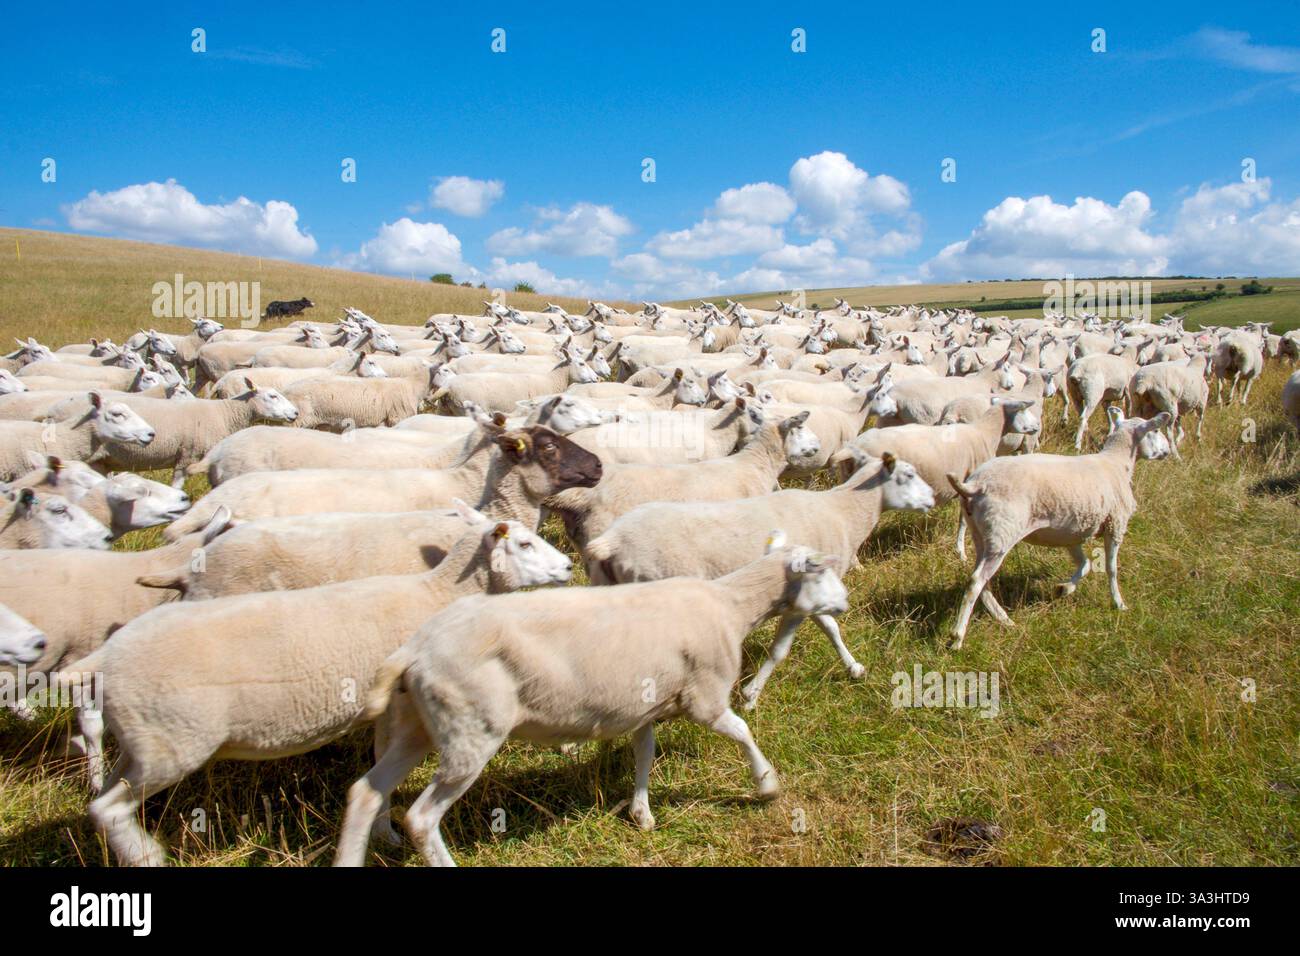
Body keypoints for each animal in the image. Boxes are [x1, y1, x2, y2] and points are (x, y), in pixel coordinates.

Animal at [68, 503, 573, 866]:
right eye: (525, 543)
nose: (569, 568)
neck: (438, 592)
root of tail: (105, 656)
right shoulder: (395, 704)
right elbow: (381, 762)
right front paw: (386, 832)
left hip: (143, 743)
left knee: (106, 798)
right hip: (173, 743)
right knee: (108, 808)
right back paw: (147, 855)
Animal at [334, 540, 848, 866]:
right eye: (820, 569)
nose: (844, 603)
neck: (732, 606)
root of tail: (414, 650)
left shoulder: (646, 702)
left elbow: (645, 751)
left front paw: (641, 813)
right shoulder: (704, 695)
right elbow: (742, 729)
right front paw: (767, 785)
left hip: (417, 724)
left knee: (366, 793)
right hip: (471, 730)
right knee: (421, 818)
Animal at [946, 409, 1172, 649]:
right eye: (1155, 430)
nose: (1167, 451)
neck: (1117, 464)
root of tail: (975, 484)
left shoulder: (1073, 534)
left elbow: (1085, 565)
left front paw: (1063, 589)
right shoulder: (1115, 525)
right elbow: (1111, 569)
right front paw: (1119, 603)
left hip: (981, 533)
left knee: (981, 580)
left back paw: (1003, 619)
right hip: (1001, 534)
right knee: (976, 582)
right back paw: (957, 637)